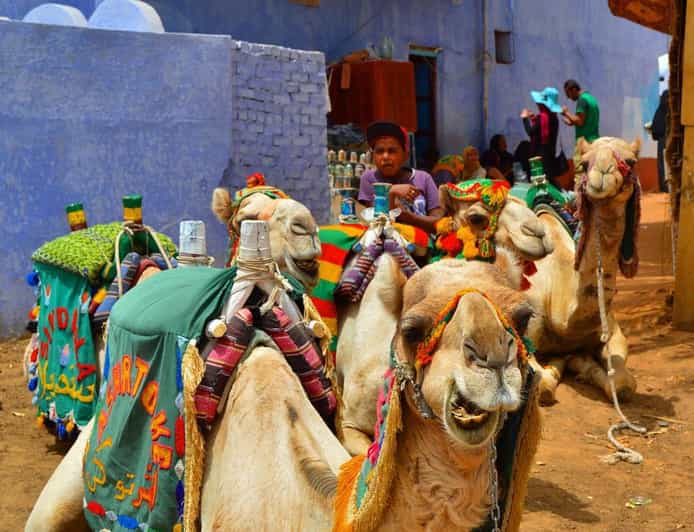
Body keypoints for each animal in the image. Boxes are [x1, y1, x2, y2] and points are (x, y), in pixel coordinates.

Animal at [525, 136, 642, 404]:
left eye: (631, 161)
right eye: (584, 163)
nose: (603, 174)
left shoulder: (613, 332)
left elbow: (623, 384)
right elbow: (542, 386)